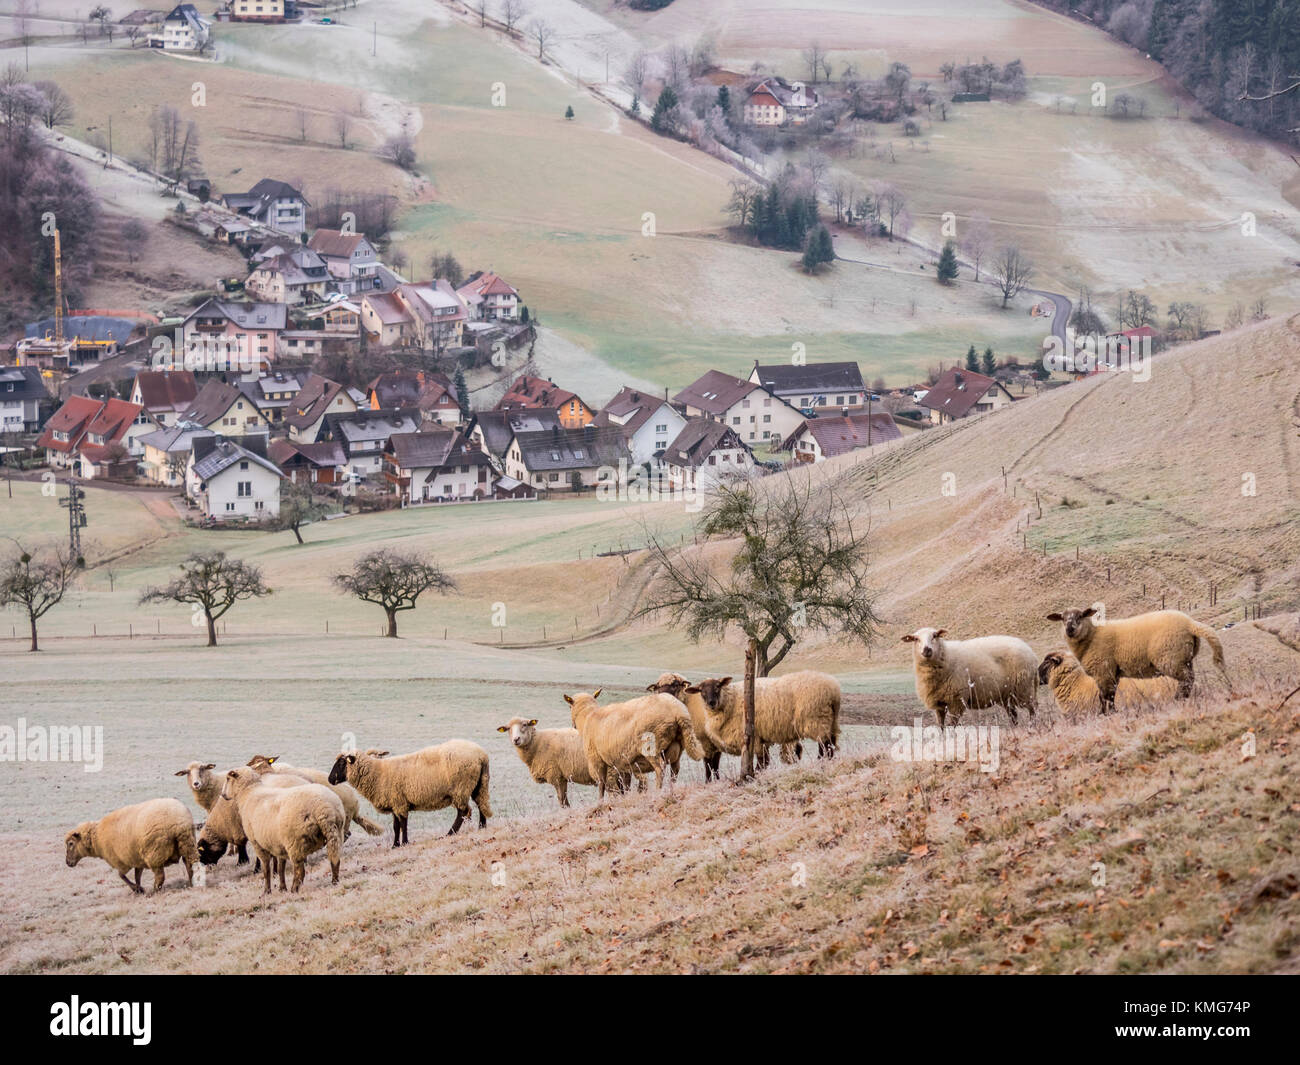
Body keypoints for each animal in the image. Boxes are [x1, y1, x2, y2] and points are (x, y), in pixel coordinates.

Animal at [65, 797, 198, 896]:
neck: (96, 838)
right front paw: (138, 888)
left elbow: (121, 876)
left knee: (160, 876)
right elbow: (137, 876)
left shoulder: (123, 862)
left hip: (154, 853)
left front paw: (137, 889)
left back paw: (154, 891)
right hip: (188, 843)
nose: (68, 863)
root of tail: (177, 823)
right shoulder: (137, 858)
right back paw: (192, 883)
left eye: (71, 843)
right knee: (190, 865)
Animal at [327, 741, 492, 846]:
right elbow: (396, 826)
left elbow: (403, 824)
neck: (379, 774)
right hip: (479, 784)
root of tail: (482, 755)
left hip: (461, 787)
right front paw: (395, 845)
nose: (330, 779)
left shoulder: (400, 802)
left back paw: (450, 833)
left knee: (462, 812)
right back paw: (482, 827)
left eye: (341, 763)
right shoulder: (394, 803)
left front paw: (405, 842)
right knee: (481, 803)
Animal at [564, 688, 703, 799]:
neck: (587, 716)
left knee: (660, 768)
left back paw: (658, 791)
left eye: (569, 706)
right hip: (678, 748)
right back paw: (671, 789)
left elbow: (602, 785)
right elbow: (623, 786)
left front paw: (600, 802)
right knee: (675, 770)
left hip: (651, 747)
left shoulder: (596, 760)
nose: (573, 725)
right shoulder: (621, 765)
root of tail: (677, 711)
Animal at [684, 671, 842, 765]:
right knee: (831, 744)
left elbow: (761, 762)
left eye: (718, 686)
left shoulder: (753, 737)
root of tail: (833, 689)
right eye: (701, 691)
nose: (711, 703)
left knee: (825, 746)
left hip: (816, 721)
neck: (731, 701)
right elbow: (765, 761)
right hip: (830, 721)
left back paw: (821, 763)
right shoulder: (761, 738)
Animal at [902, 627, 1038, 727]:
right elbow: (941, 726)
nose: (927, 650)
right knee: (1013, 715)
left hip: (1024, 689)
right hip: (1007, 696)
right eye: (916, 639)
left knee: (1033, 709)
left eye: (935, 635)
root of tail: (1029, 649)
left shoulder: (956, 700)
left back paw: (1032, 726)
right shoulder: (939, 704)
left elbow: (952, 725)